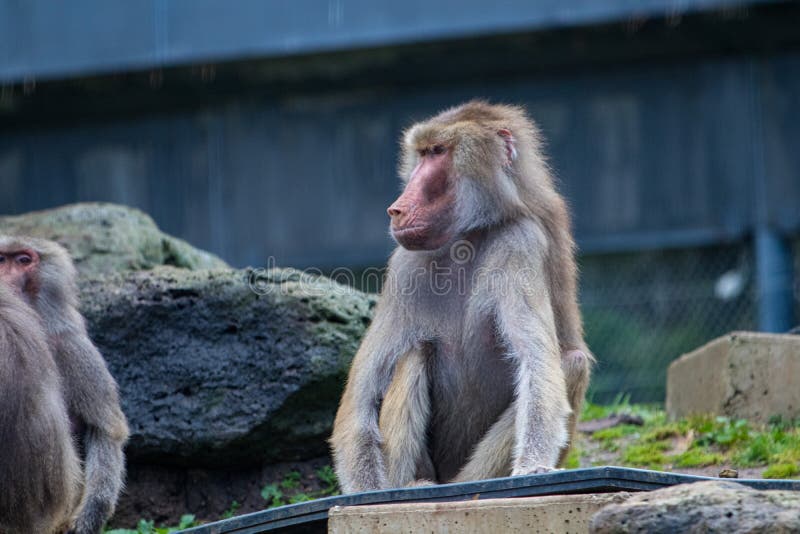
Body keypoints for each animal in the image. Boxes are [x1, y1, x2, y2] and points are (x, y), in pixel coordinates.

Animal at [0, 236, 129, 534]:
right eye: (1, 259)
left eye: (23, 260)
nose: (3, 280)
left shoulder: (71, 344)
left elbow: (106, 430)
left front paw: (88, 520)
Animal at [331, 101, 593, 493]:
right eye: (422, 153)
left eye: (438, 152)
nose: (397, 209)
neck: (468, 235)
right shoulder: (404, 265)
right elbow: (359, 402)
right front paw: (370, 494)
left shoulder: (520, 242)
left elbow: (537, 364)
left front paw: (531, 468)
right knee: (413, 352)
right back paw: (415, 486)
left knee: (572, 362)